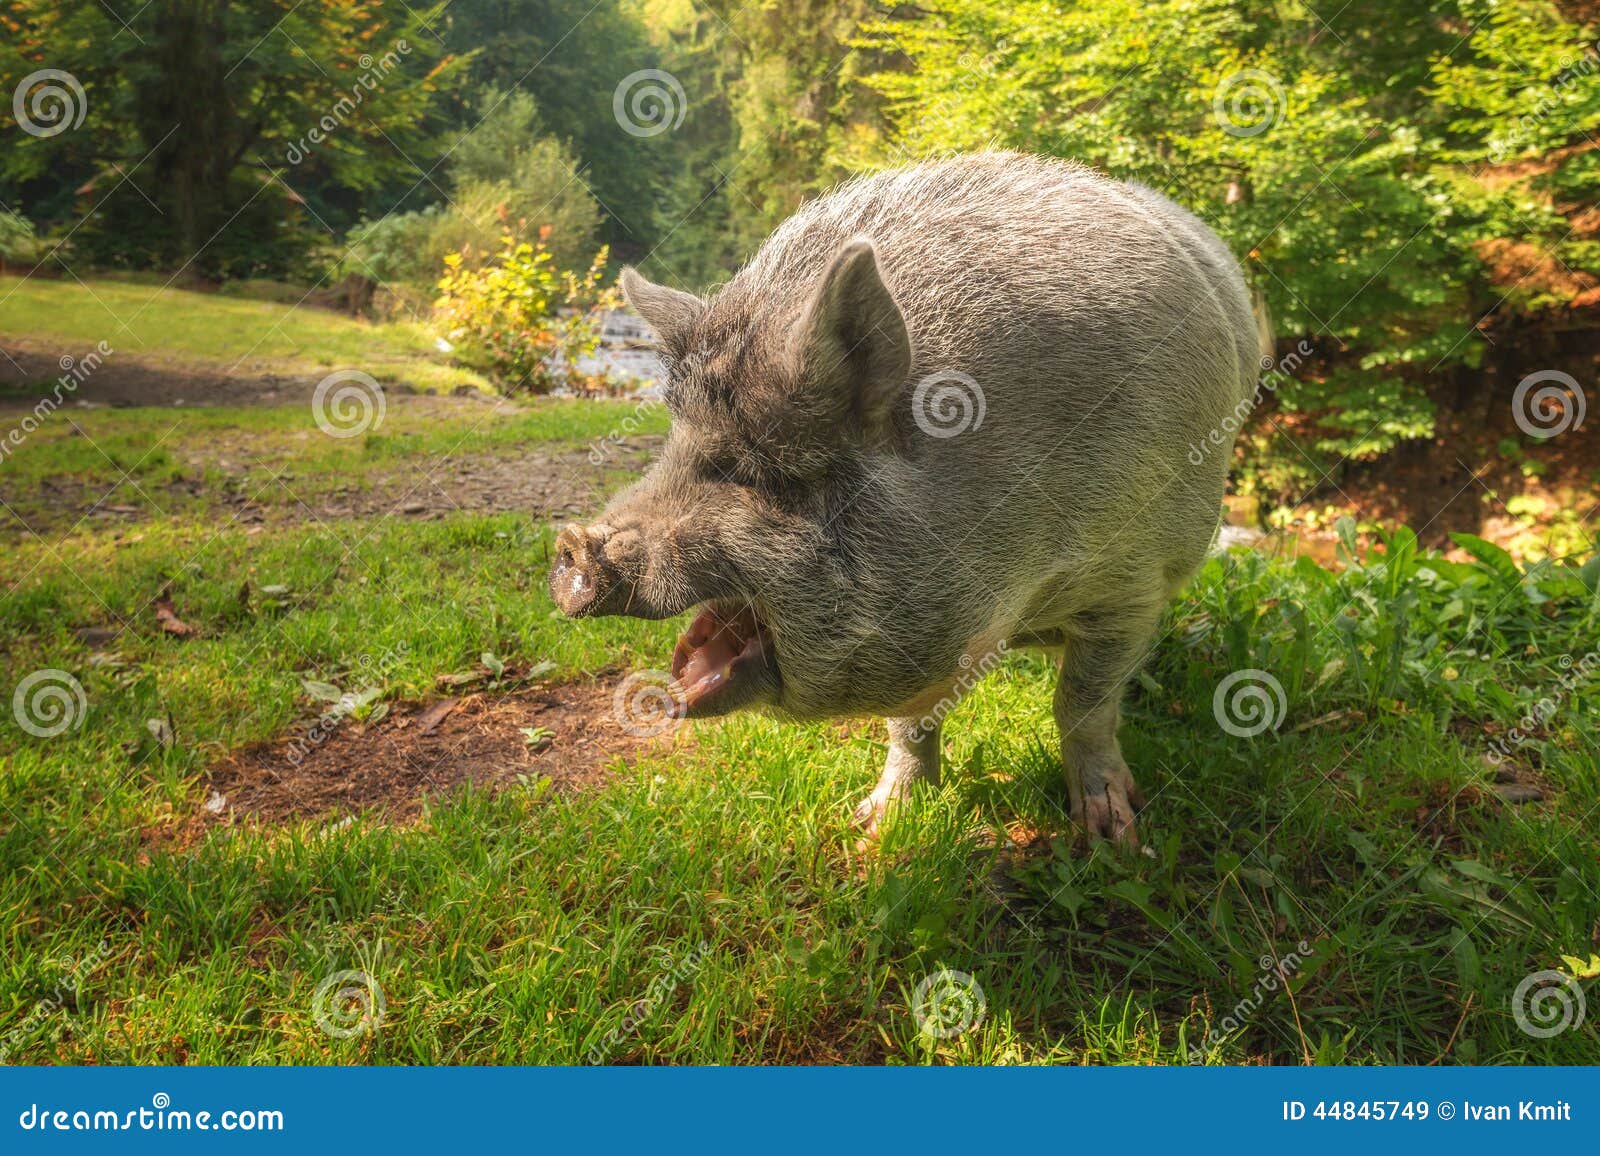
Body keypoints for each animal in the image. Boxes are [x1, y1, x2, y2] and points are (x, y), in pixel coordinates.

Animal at [550, 151, 1264, 846]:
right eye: (673, 449)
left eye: (762, 476)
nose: (574, 547)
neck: (1012, 592)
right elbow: (910, 721)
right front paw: (874, 826)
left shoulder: (1129, 583)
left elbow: (1082, 705)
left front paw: (1116, 837)